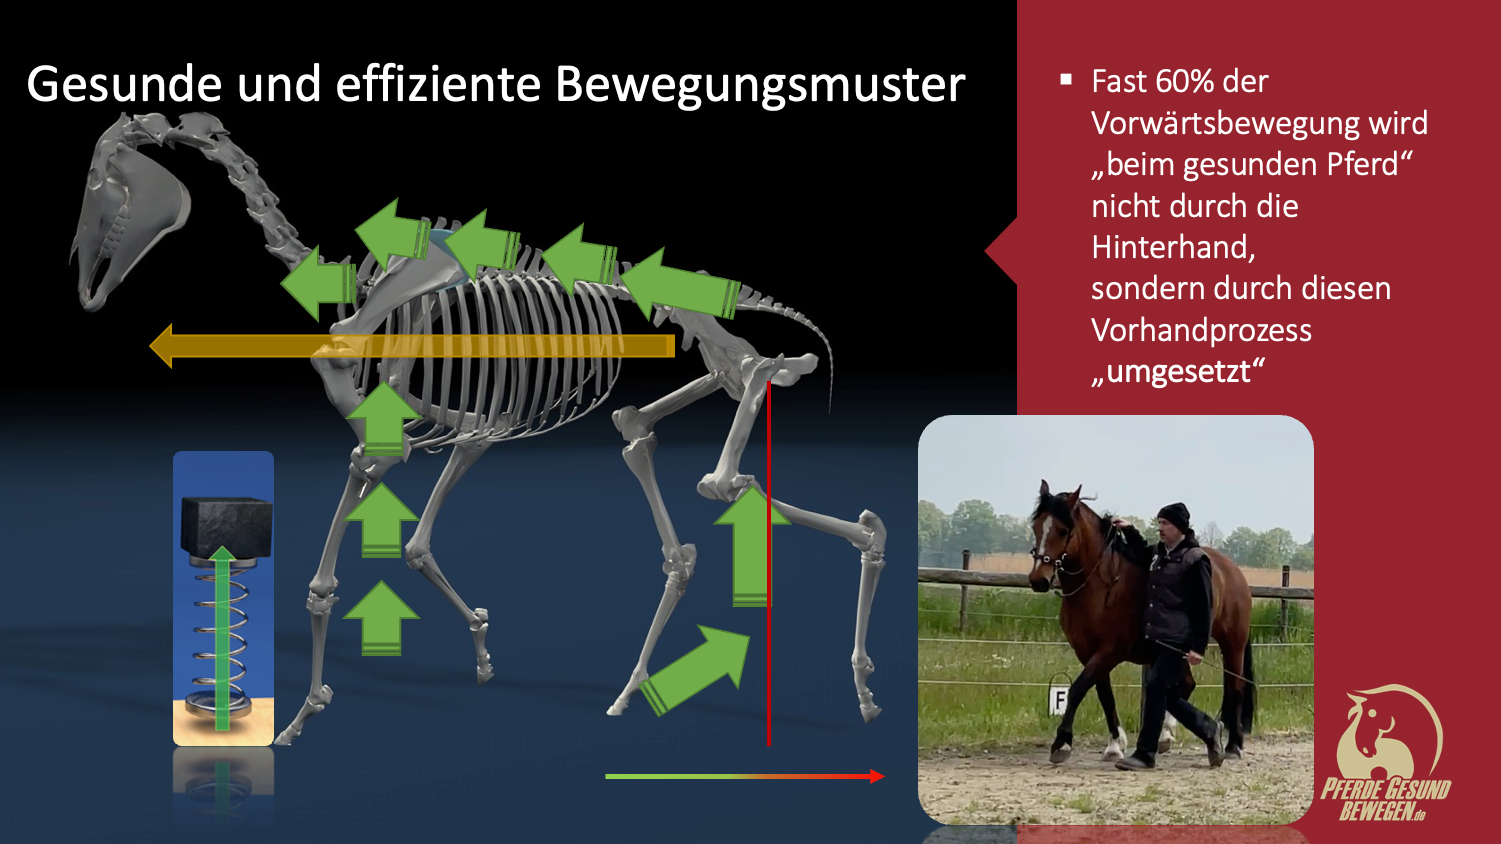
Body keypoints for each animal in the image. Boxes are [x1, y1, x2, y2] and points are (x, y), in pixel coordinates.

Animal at [1027, 480, 1256, 762]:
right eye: (1037, 527)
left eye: (1062, 530)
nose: (1038, 579)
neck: (1101, 586)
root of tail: (1233, 571)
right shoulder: (1087, 652)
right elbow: (1104, 693)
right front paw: (1115, 745)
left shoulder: (1110, 651)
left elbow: (1079, 688)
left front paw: (1062, 743)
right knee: (1184, 686)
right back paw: (1166, 736)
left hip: (1232, 645)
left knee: (1235, 688)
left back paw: (1233, 745)